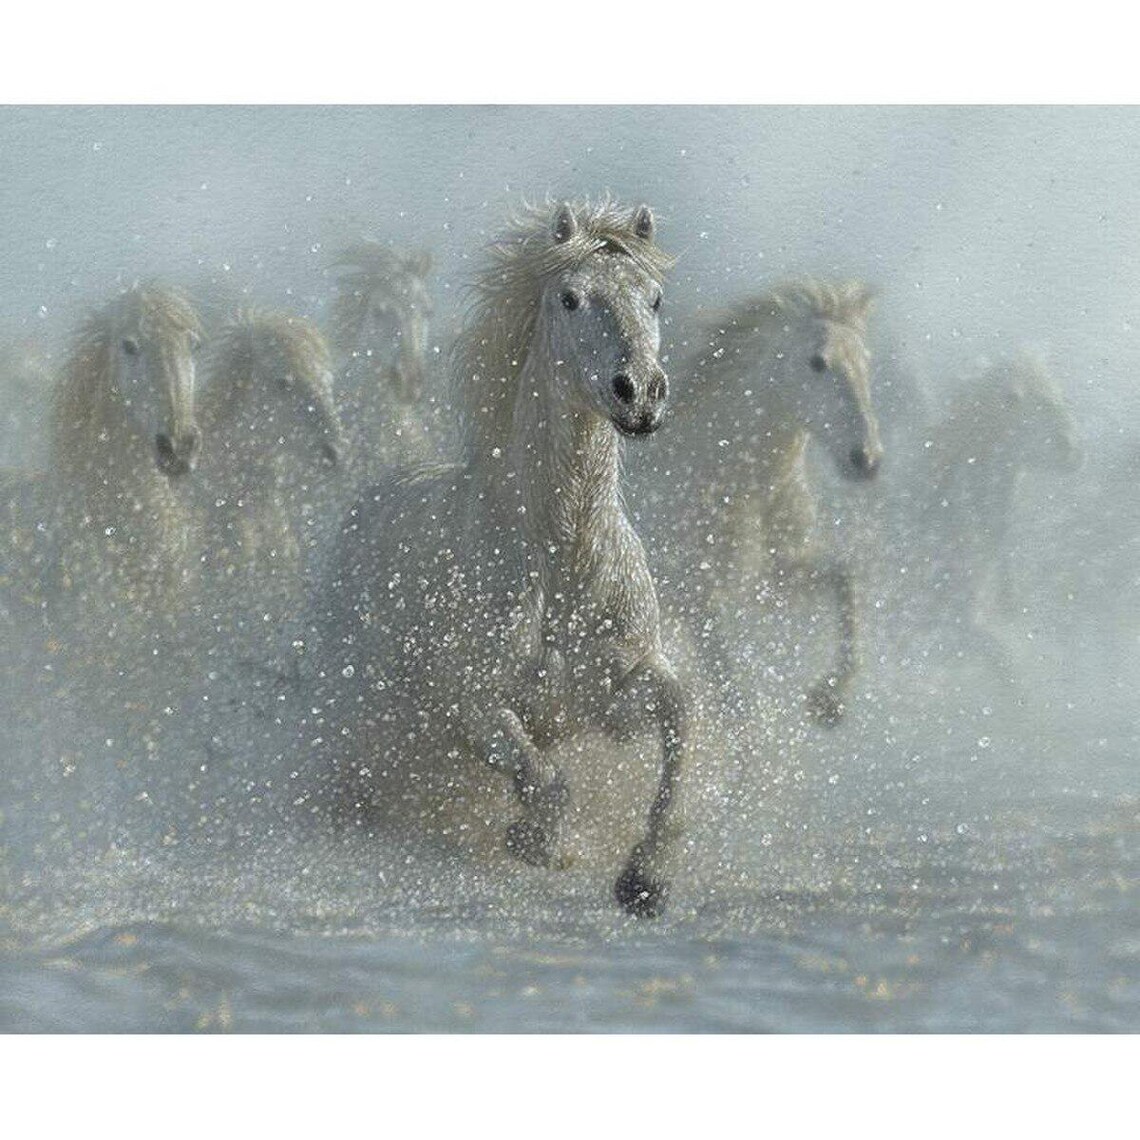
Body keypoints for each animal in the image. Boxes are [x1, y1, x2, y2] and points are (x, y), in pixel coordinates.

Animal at [631, 280, 881, 724]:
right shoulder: (695, 599)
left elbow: (845, 578)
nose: (866, 459)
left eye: (866, 362)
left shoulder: (773, 574)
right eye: (817, 362)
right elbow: (735, 701)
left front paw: (829, 699)